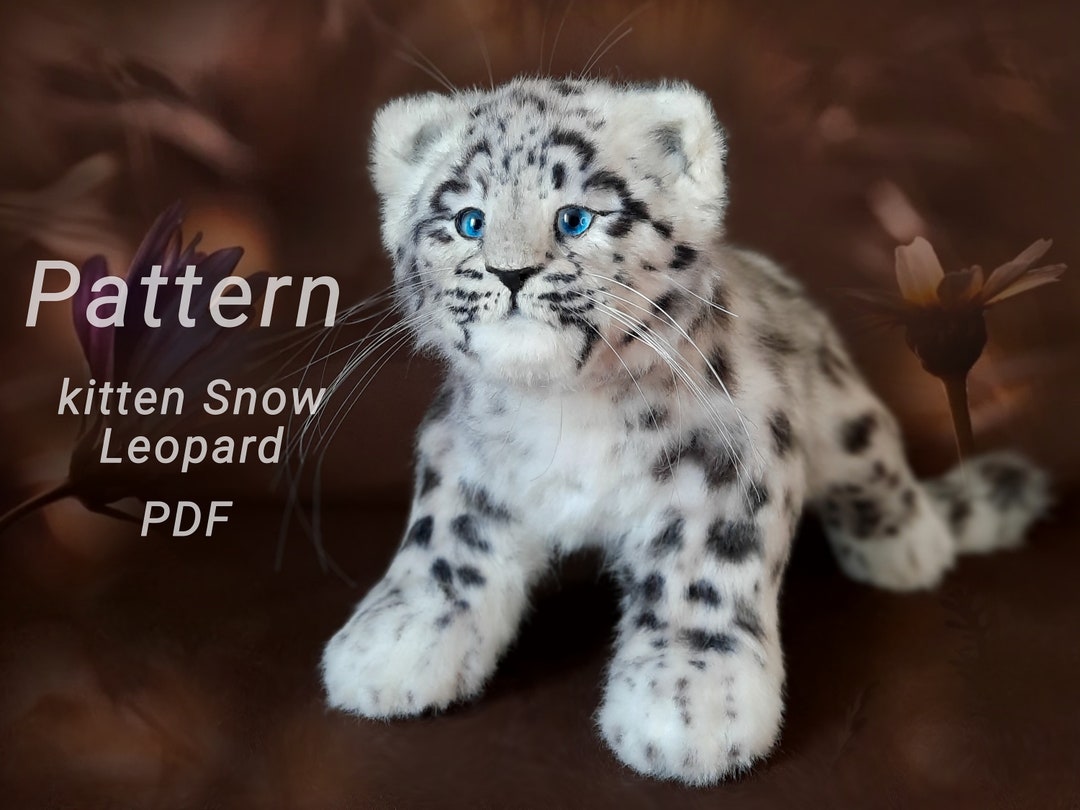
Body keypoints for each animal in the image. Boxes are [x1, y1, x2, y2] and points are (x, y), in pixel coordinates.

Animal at [320, 76, 1049, 784]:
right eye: (467, 220)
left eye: (575, 217)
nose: (511, 271)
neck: (565, 407)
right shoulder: (465, 456)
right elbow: (449, 543)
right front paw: (393, 642)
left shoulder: (723, 467)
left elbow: (699, 574)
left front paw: (691, 704)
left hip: (845, 417)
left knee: (875, 461)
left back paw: (908, 546)